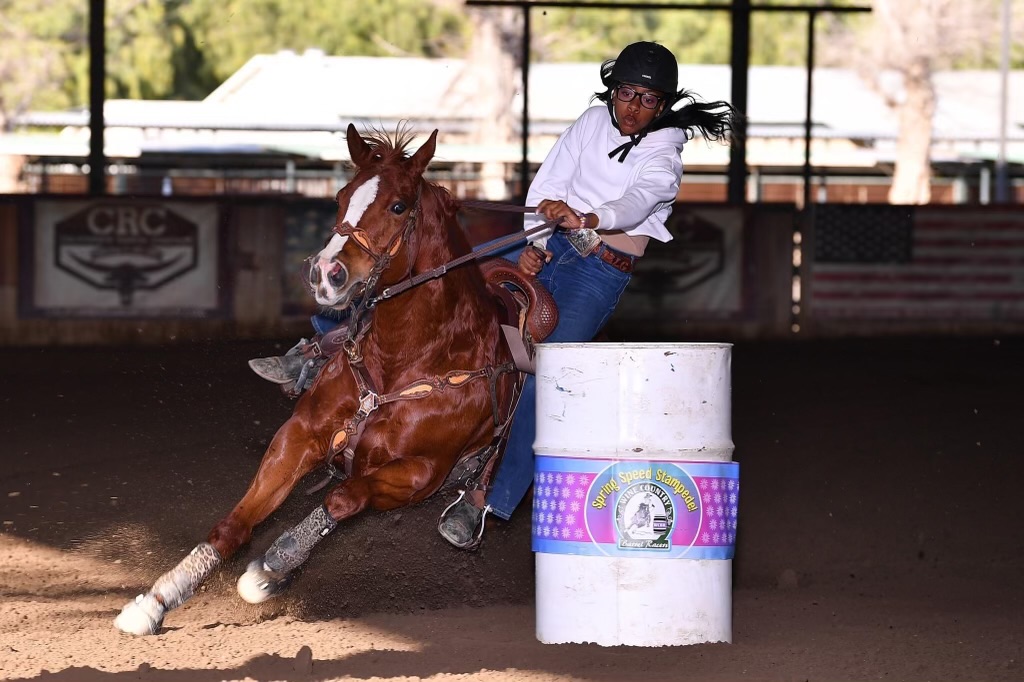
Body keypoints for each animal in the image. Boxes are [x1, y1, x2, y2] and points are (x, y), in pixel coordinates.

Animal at [114, 124, 553, 636]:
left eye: (399, 205)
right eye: (341, 196)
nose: (326, 273)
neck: (407, 359)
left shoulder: (422, 472)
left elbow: (343, 498)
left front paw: (272, 566)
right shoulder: (300, 435)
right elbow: (234, 524)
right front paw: (155, 600)